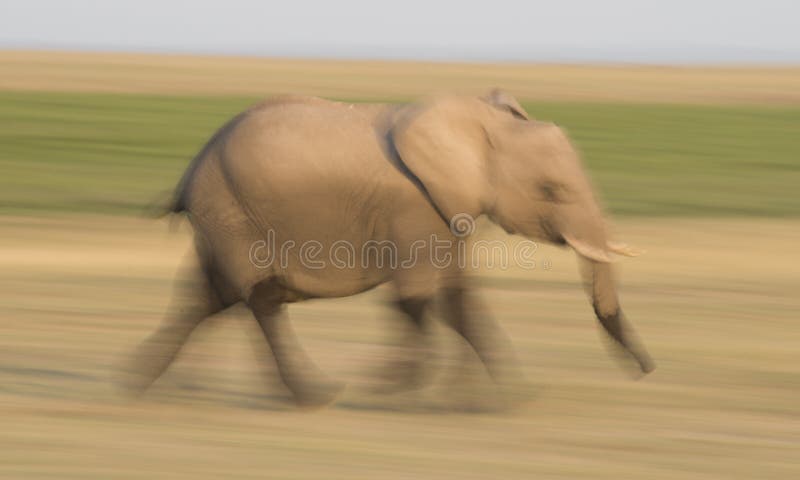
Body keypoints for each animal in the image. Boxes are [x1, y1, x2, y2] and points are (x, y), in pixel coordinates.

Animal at [122, 90, 655, 407]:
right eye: (552, 190)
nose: (646, 371)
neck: (479, 121)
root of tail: (190, 171)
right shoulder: (413, 207)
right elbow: (418, 297)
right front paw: (392, 389)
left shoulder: (447, 210)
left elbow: (458, 299)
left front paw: (497, 399)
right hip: (232, 213)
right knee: (259, 299)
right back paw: (317, 393)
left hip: (221, 218)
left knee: (208, 297)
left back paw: (140, 382)